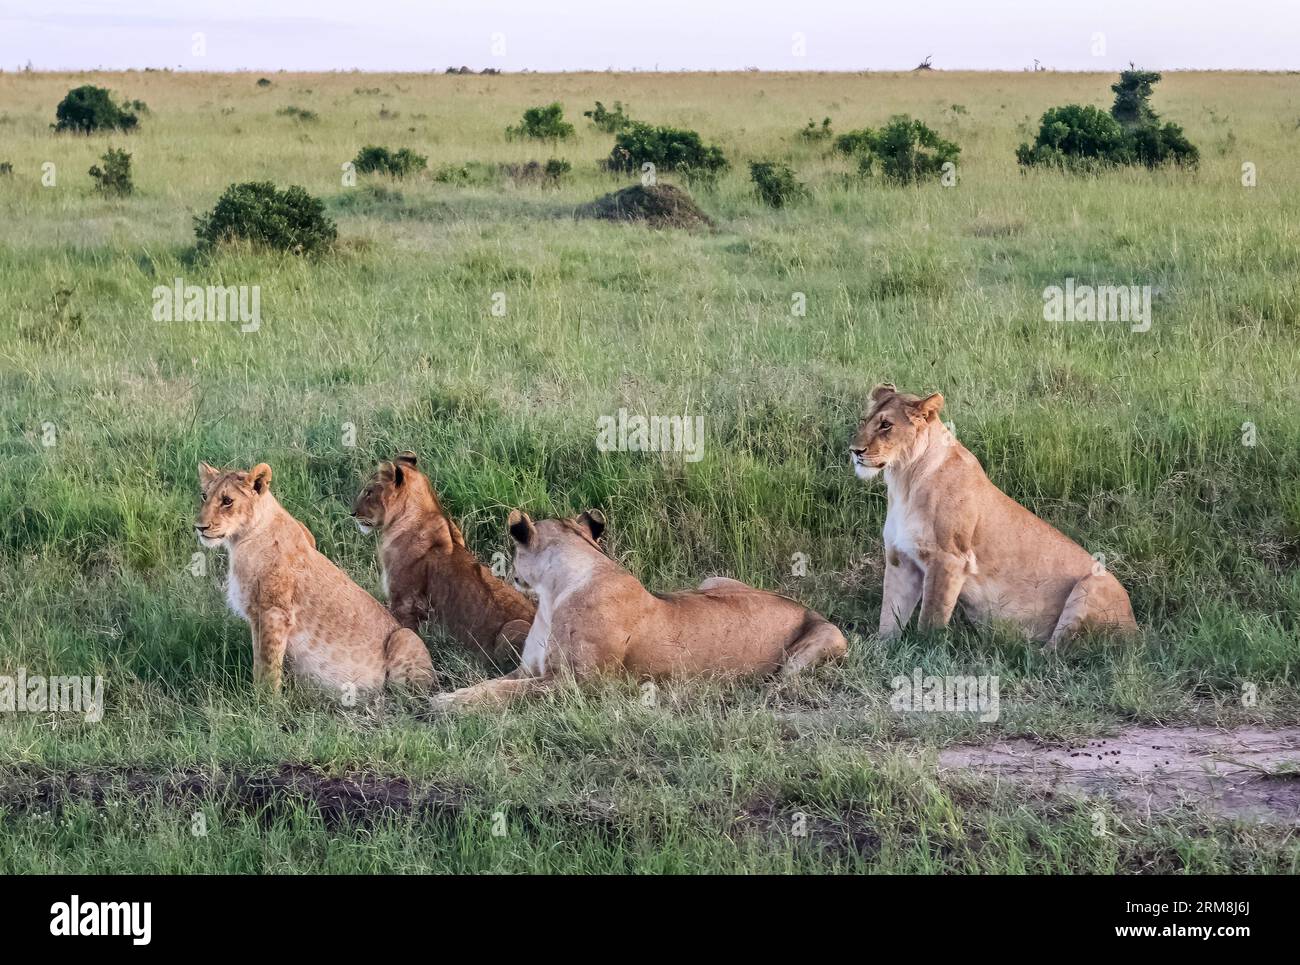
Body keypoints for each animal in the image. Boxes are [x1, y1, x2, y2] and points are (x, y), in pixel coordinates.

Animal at [196, 461, 435, 694]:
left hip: (404, 636)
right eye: (204, 496)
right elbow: (259, 662)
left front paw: (265, 701)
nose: (199, 527)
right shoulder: (257, 617)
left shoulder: (275, 612)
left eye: (227, 501)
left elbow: (268, 666)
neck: (239, 541)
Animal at [430, 509, 847, 709]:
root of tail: (809, 608)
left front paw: (448, 705)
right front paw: (454, 694)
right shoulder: (530, 669)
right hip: (712, 580)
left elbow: (508, 694)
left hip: (822, 643)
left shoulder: (580, 684)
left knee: (783, 680)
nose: (512, 573)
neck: (553, 593)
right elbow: (493, 684)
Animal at [849, 386, 1137, 647]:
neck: (903, 480)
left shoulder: (949, 559)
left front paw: (922, 652)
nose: (854, 451)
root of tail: (1136, 629)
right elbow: (889, 615)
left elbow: (929, 620)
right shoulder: (901, 559)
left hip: (1093, 585)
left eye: (886, 425)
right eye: (865, 421)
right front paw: (882, 651)